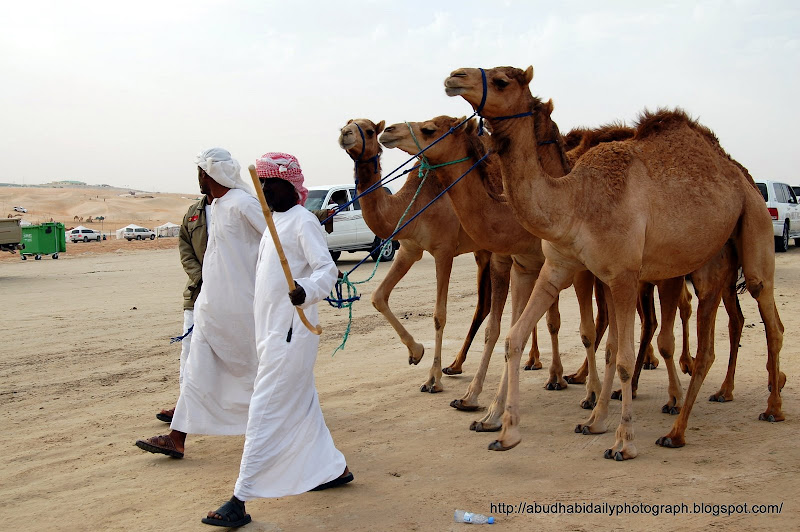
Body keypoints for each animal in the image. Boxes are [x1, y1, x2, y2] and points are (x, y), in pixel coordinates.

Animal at [379, 116, 603, 426]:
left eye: (429, 129)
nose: (388, 131)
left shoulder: (564, 265)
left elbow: (578, 328)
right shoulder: (517, 263)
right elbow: (505, 328)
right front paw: (476, 401)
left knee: (601, 322)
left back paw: (594, 390)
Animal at [445, 65, 785, 459]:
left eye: (502, 81)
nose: (454, 77)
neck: (575, 202)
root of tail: (742, 176)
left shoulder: (623, 275)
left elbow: (621, 357)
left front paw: (623, 440)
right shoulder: (560, 267)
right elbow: (517, 336)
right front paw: (507, 430)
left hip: (753, 226)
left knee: (763, 319)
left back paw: (763, 410)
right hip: (710, 262)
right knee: (714, 339)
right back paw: (685, 423)